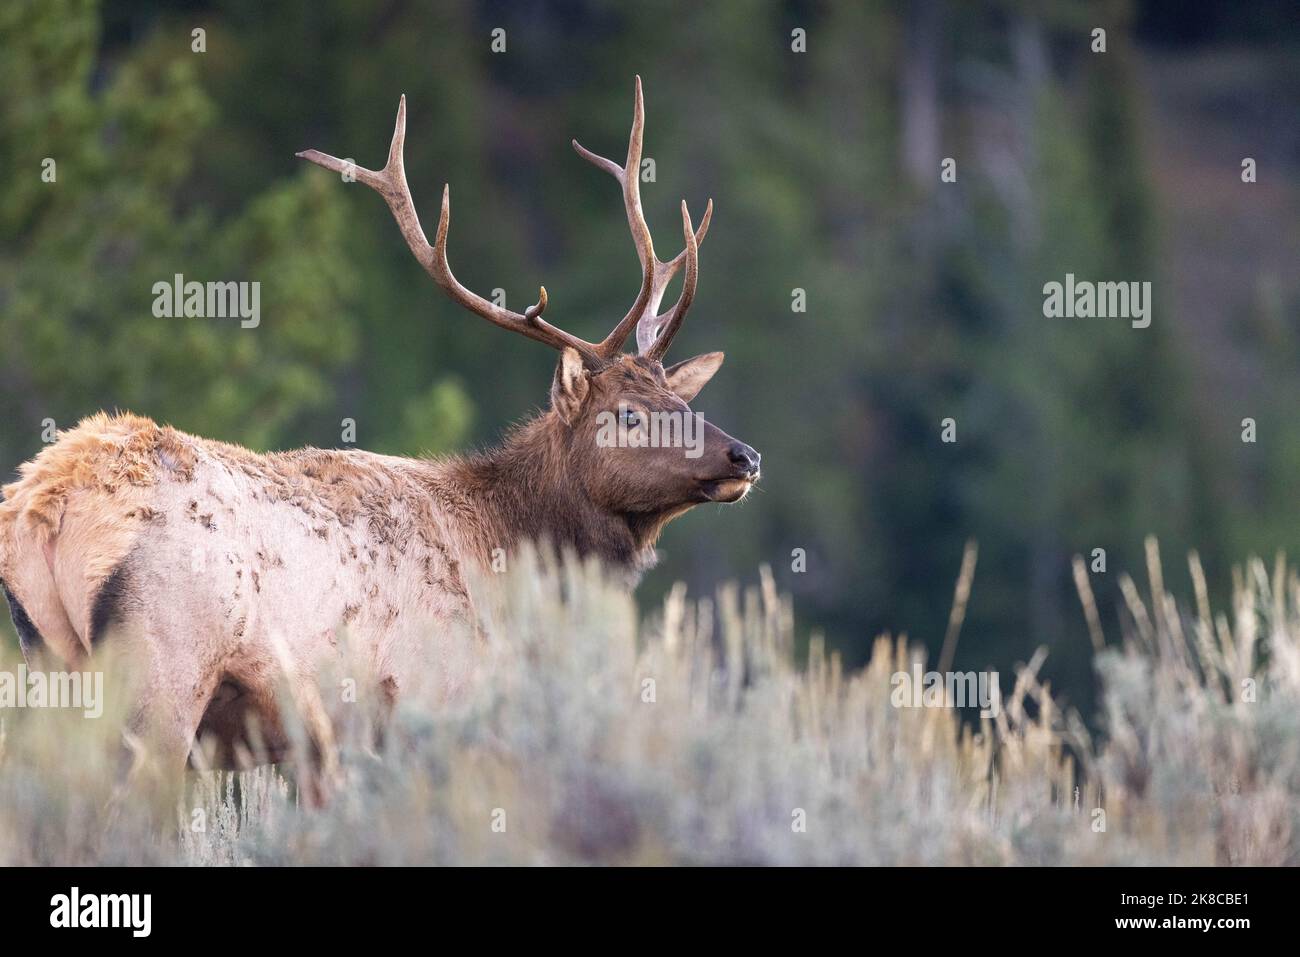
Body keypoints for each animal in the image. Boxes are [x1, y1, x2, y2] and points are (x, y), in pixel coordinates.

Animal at [0, 78, 760, 788]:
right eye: (627, 412)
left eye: (677, 396)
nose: (745, 454)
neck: (507, 554)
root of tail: (45, 503)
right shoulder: (428, 698)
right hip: (162, 666)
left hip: (52, 667)